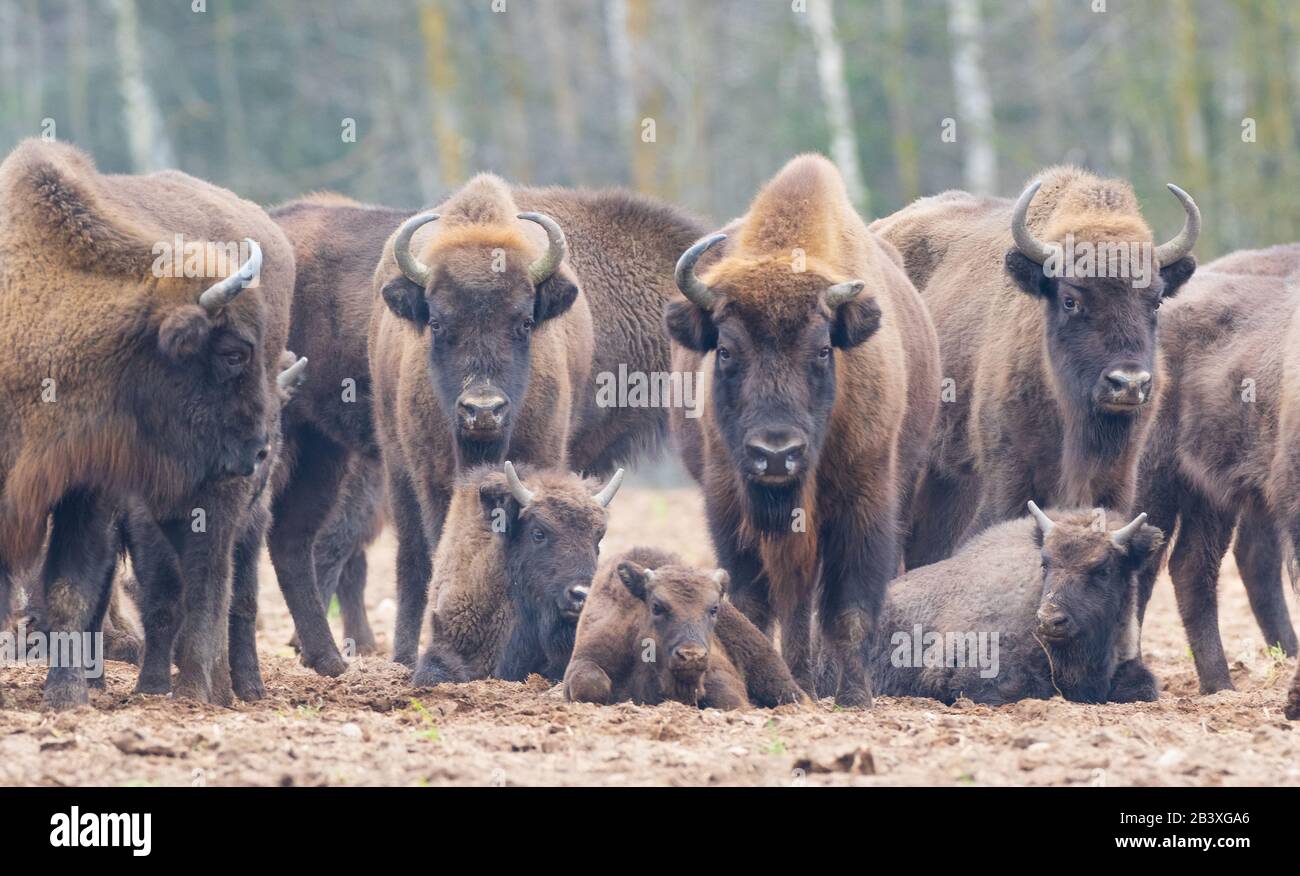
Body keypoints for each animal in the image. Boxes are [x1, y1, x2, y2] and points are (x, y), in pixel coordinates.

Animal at [0, 140, 292, 708]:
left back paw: (204, 690)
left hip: (212, 499)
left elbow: (69, 588)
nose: (261, 449)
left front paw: (67, 698)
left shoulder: (85, 490)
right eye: (231, 353)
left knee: (212, 581)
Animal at [666, 153, 941, 707]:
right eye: (724, 350)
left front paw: (856, 698)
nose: (776, 454)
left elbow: (849, 611)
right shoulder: (729, 502)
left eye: (822, 349)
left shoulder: (865, 501)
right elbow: (752, 604)